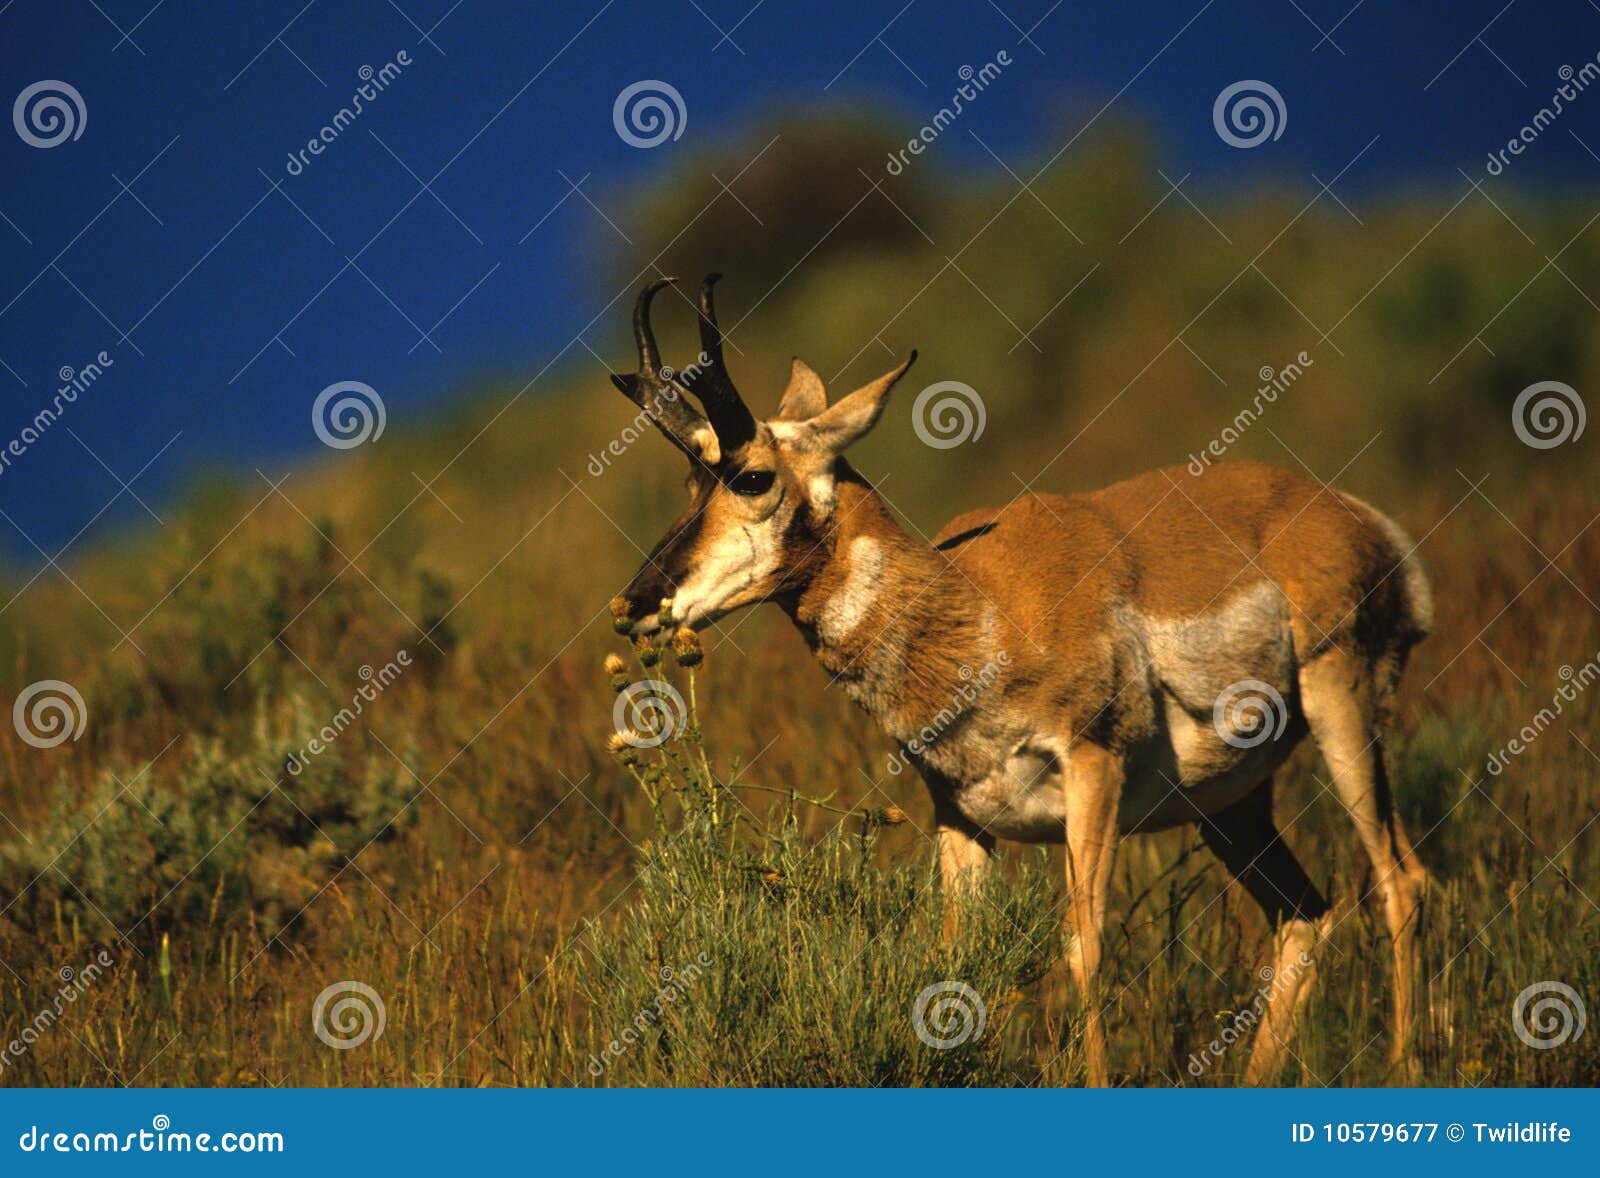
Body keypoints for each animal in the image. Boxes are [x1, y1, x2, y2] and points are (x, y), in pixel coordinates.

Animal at [607, 276, 1432, 1086]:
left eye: (752, 477)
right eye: (689, 482)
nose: (634, 604)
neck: (978, 603)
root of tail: (1352, 515)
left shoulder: (1094, 769)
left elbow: (1083, 947)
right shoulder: (959, 817)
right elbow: (955, 960)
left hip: (1341, 706)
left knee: (1401, 881)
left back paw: (1405, 1066)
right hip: (1232, 806)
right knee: (1305, 917)